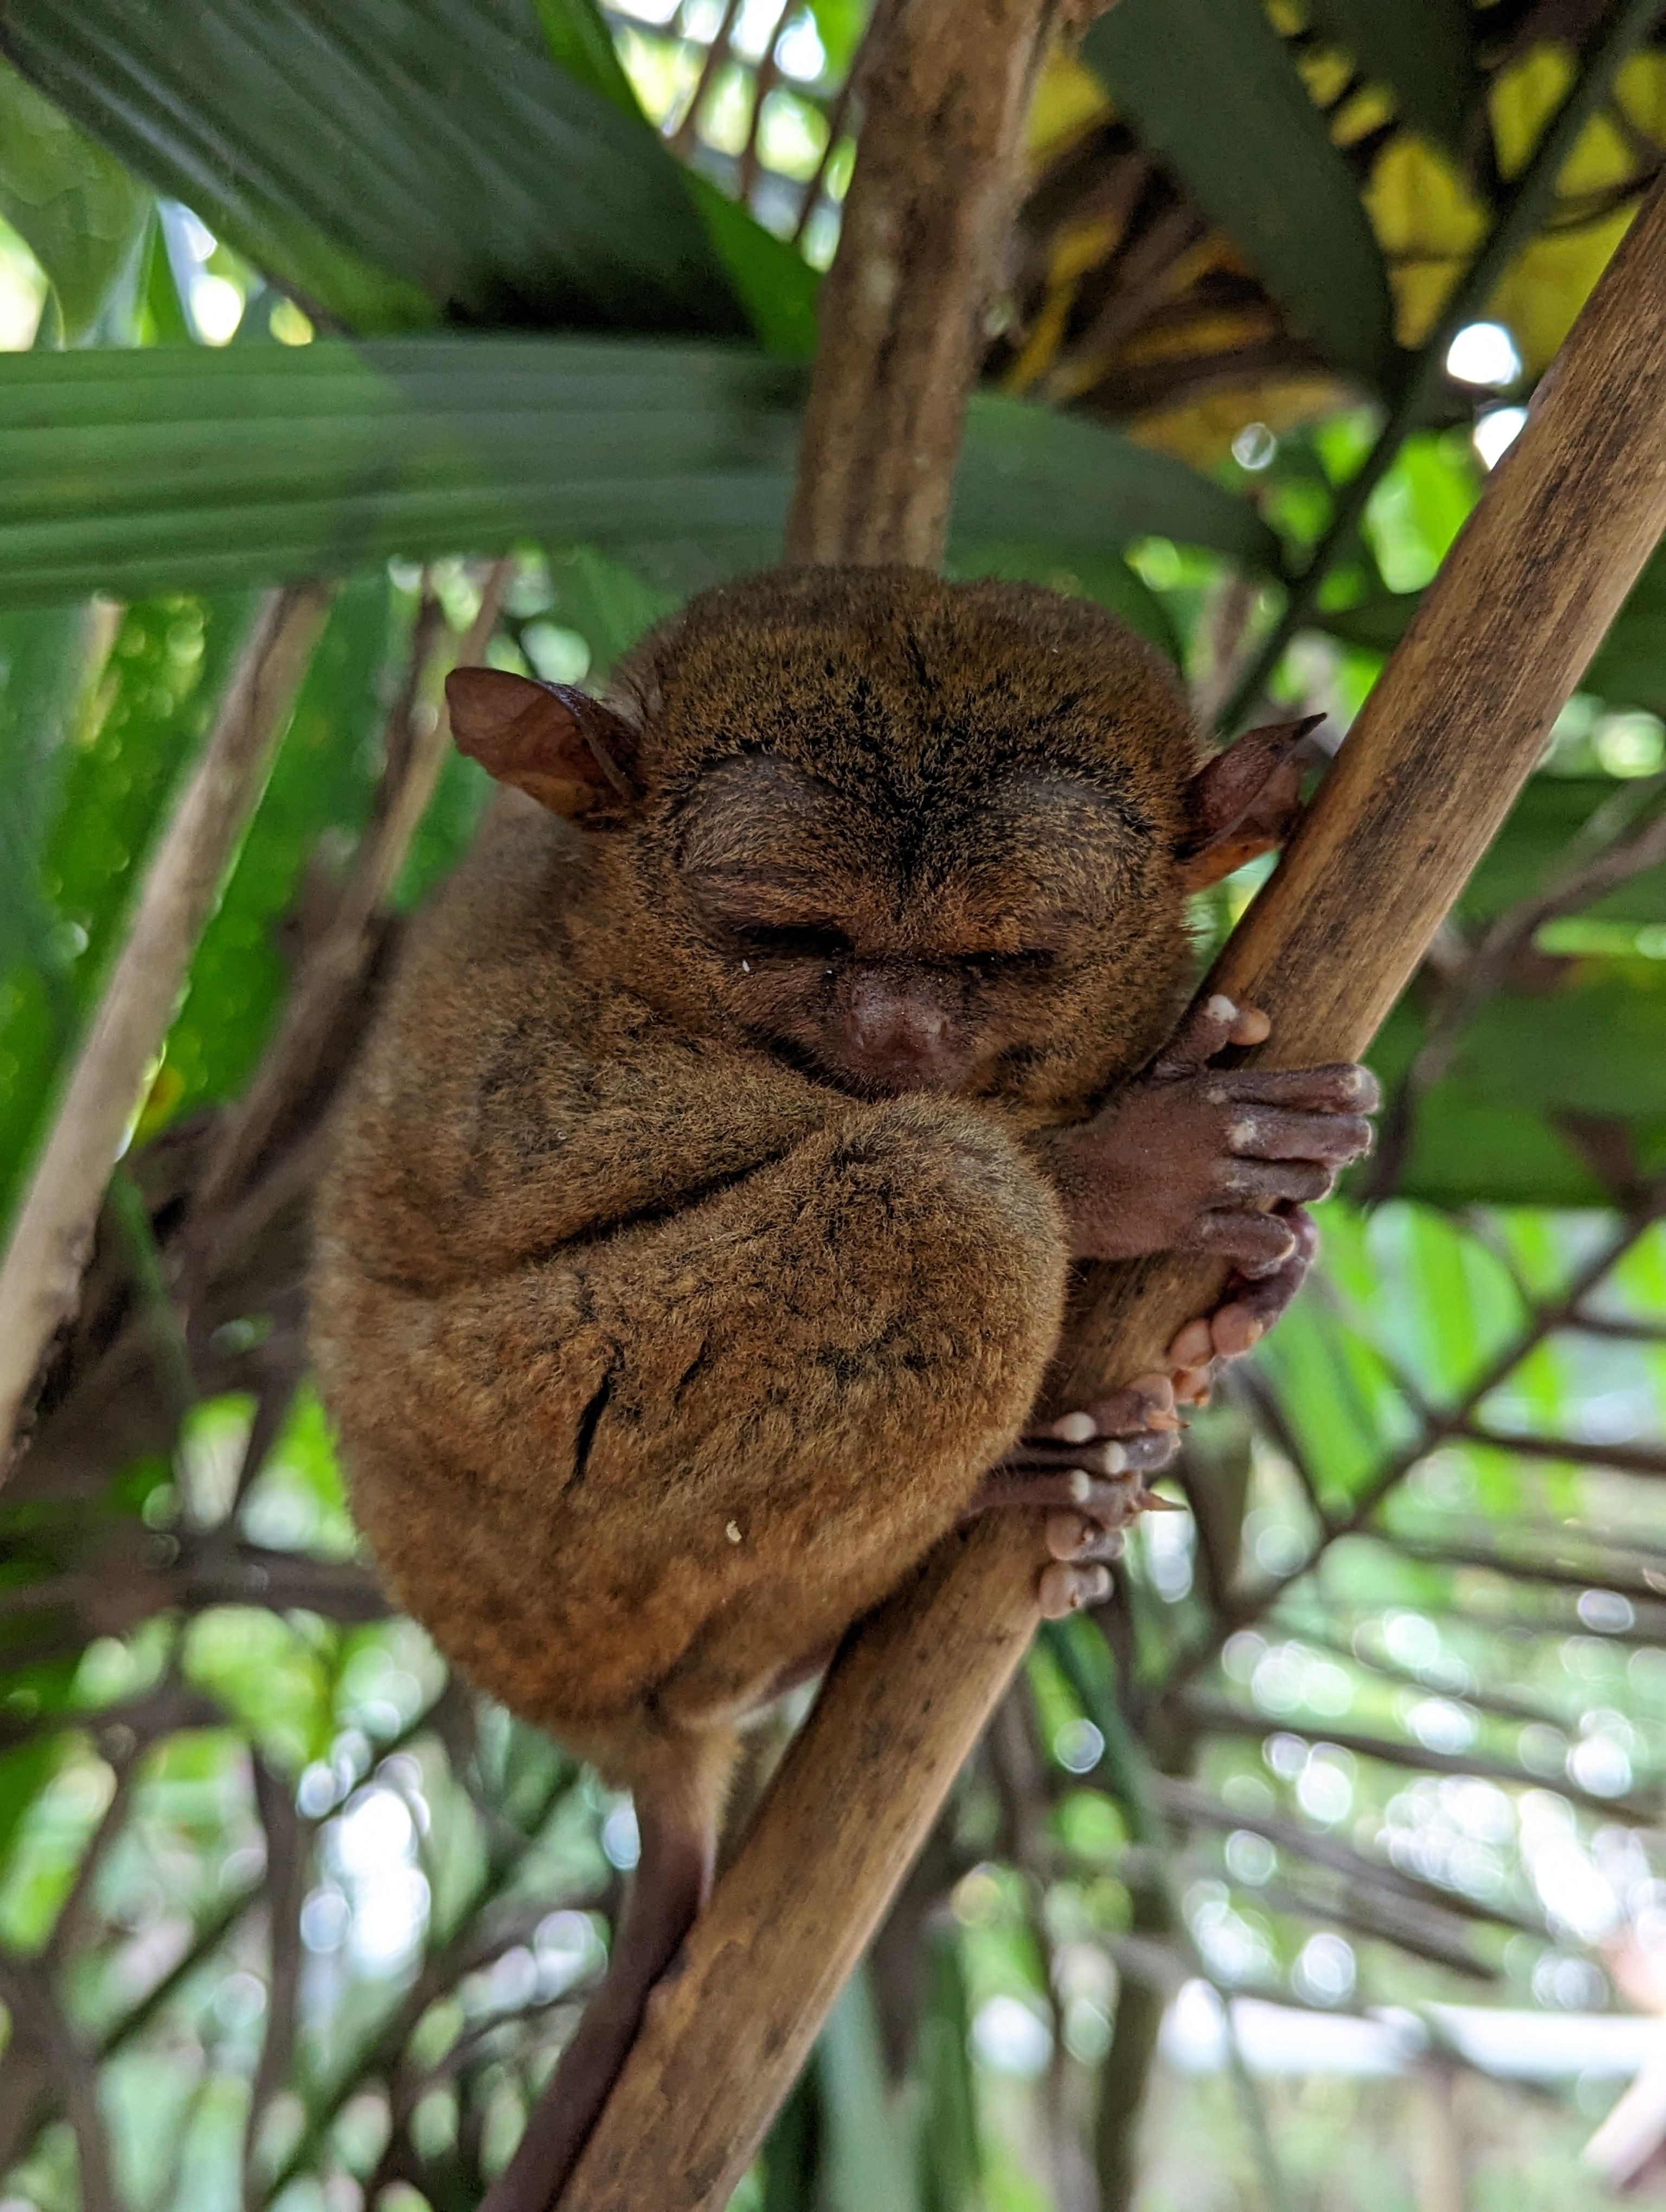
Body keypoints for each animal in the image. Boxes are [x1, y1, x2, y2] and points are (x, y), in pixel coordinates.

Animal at [308, 566, 1377, 2211]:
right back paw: (989, 1495)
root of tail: (600, 1733)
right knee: (945, 1200)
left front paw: (1265, 1270)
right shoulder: (530, 1062)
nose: (895, 1034)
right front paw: (1145, 1165)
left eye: (1012, 956)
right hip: (535, 1465)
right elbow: (559, 1149)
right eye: (781, 932)